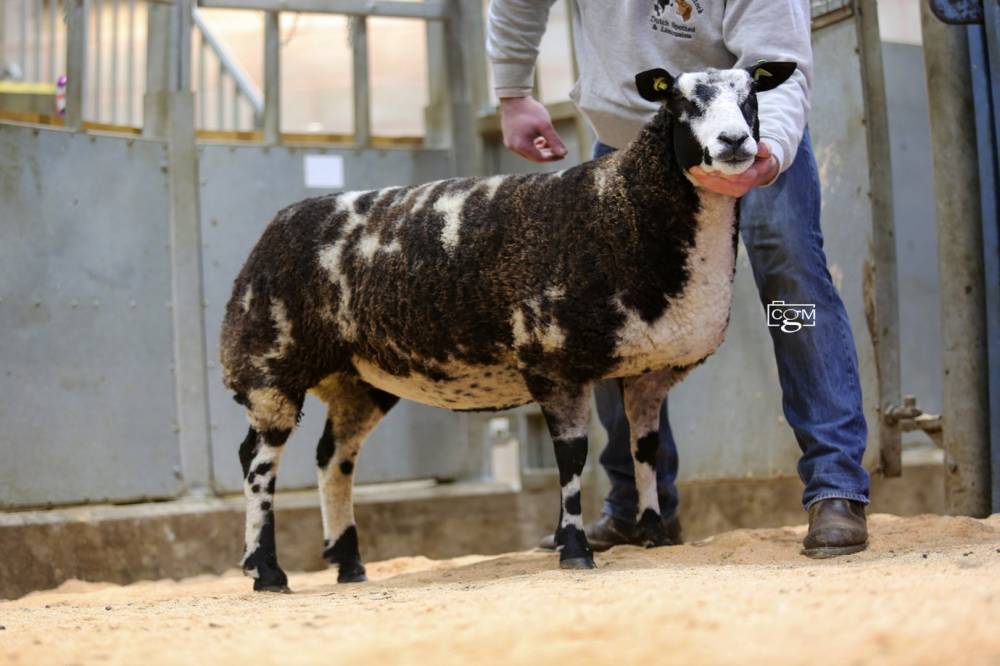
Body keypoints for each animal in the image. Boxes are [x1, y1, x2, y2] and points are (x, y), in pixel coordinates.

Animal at [221, 62, 797, 592]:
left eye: (751, 97)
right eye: (680, 103)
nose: (734, 142)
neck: (626, 208)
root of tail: (279, 222)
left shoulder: (650, 371)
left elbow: (646, 451)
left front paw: (655, 537)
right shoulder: (553, 362)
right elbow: (572, 459)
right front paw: (574, 550)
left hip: (357, 379)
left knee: (334, 457)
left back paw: (348, 563)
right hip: (270, 359)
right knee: (258, 460)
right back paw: (265, 570)